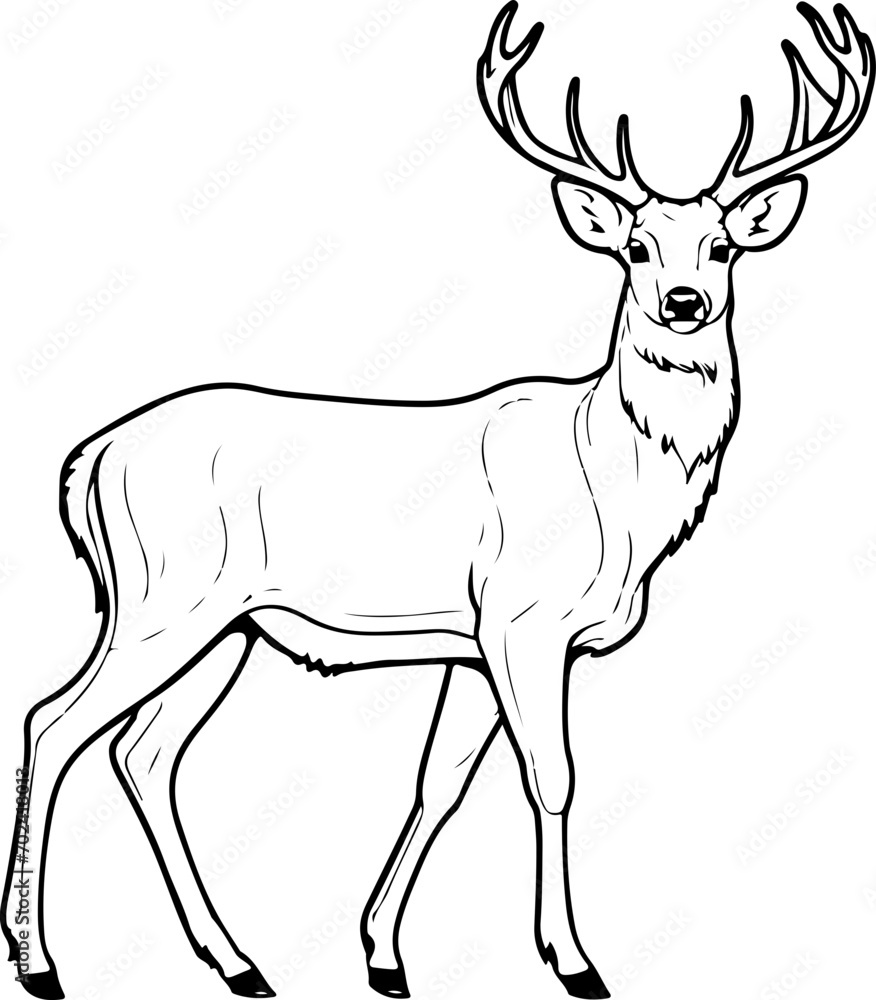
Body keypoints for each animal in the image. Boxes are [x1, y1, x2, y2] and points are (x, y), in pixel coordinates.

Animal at [3, 2, 872, 998]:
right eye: (635, 247)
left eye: (722, 246)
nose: (685, 301)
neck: (617, 490)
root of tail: (86, 460)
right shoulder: (523, 617)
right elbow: (552, 776)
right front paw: (575, 961)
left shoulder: (470, 638)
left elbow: (440, 779)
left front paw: (382, 954)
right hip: (163, 596)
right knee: (54, 723)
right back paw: (39, 961)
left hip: (226, 622)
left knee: (143, 750)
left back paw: (239, 961)